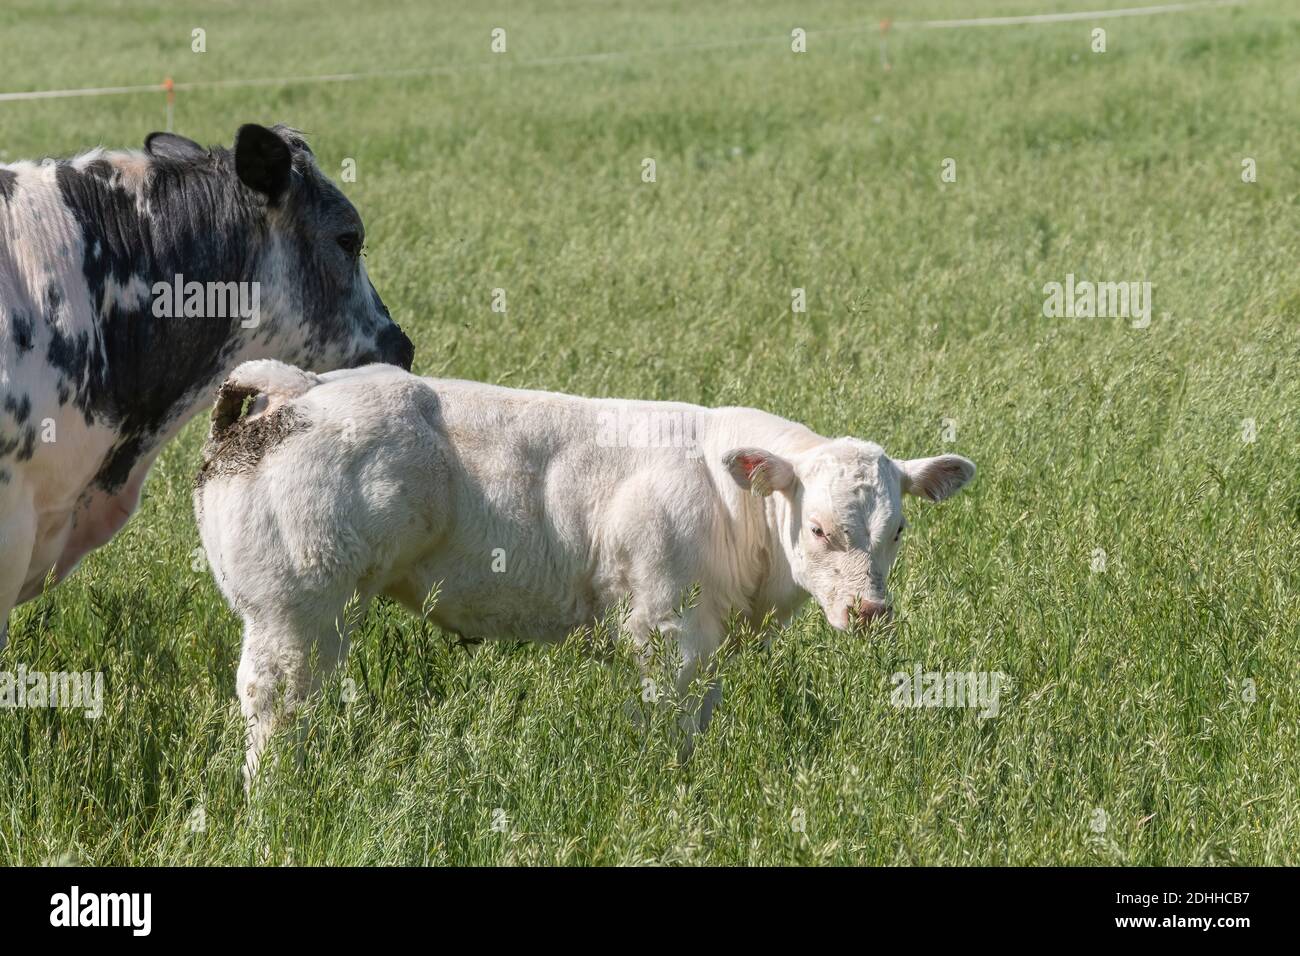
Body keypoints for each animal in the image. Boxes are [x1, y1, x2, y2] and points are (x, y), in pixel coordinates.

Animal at [193, 360, 976, 781]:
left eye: (898, 530)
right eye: (816, 528)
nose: (871, 612)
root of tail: (301, 387)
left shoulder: (711, 640)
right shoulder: (665, 627)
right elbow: (669, 726)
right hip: (293, 614)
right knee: (273, 712)